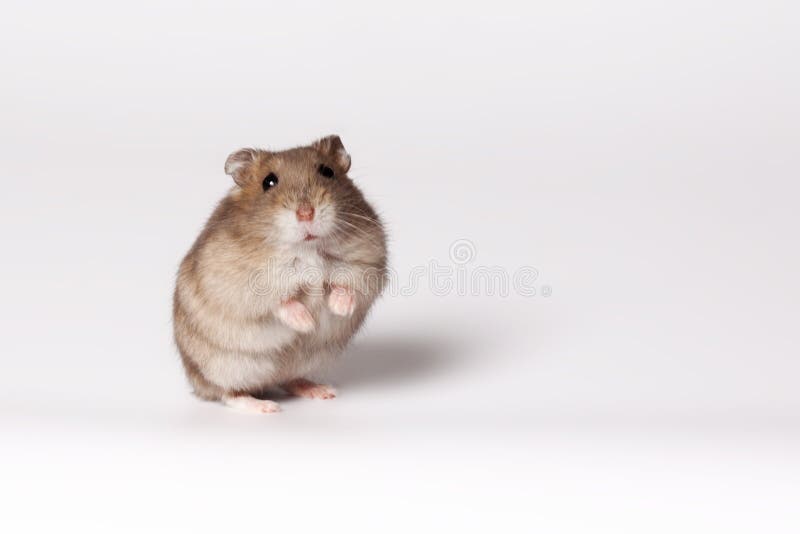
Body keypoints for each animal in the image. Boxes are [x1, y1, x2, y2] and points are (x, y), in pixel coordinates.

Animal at [173, 135, 387, 413]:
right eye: (269, 182)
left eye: (327, 172)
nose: (306, 213)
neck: (305, 247)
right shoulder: (241, 285)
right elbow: (280, 303)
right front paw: (308, 323)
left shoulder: (367, 262)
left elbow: (347, 285)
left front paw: (339, 308)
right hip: (224, 368)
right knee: (228, 394)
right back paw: (267, 407)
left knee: (288, 380)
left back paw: (323, 391)